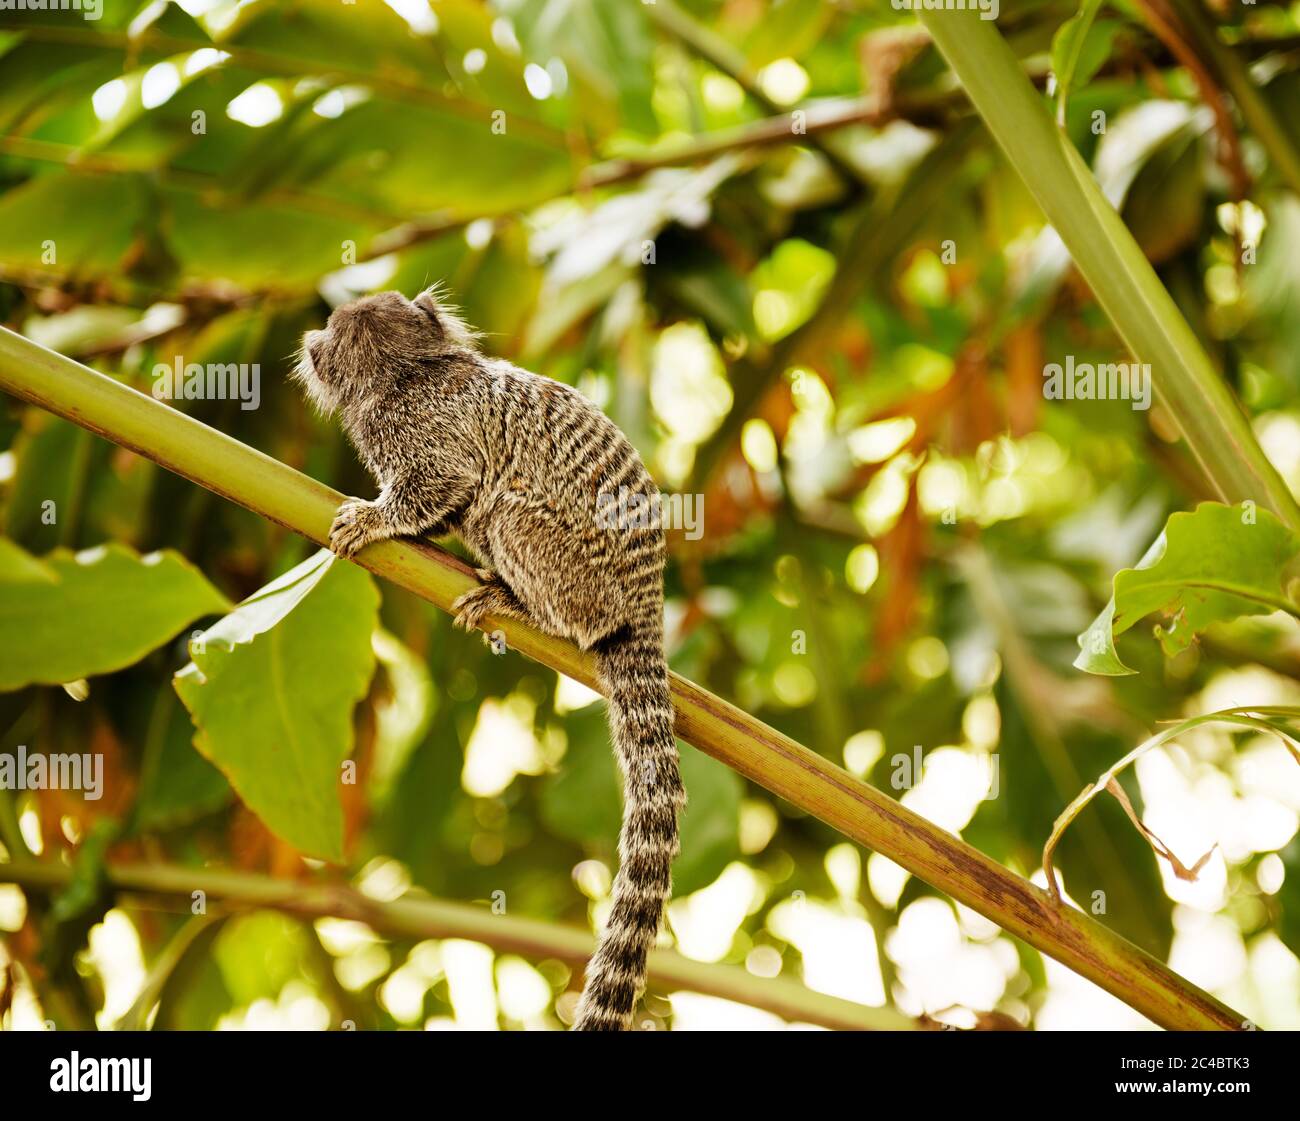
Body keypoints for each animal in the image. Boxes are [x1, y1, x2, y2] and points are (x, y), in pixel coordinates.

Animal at [292, 286, 686, 1031]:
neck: (406, 374)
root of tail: (647, 604)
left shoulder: (422, 430)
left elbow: (443, 481)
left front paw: (375, 519)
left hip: (573, 572)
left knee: (507, 512)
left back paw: (523, 606)